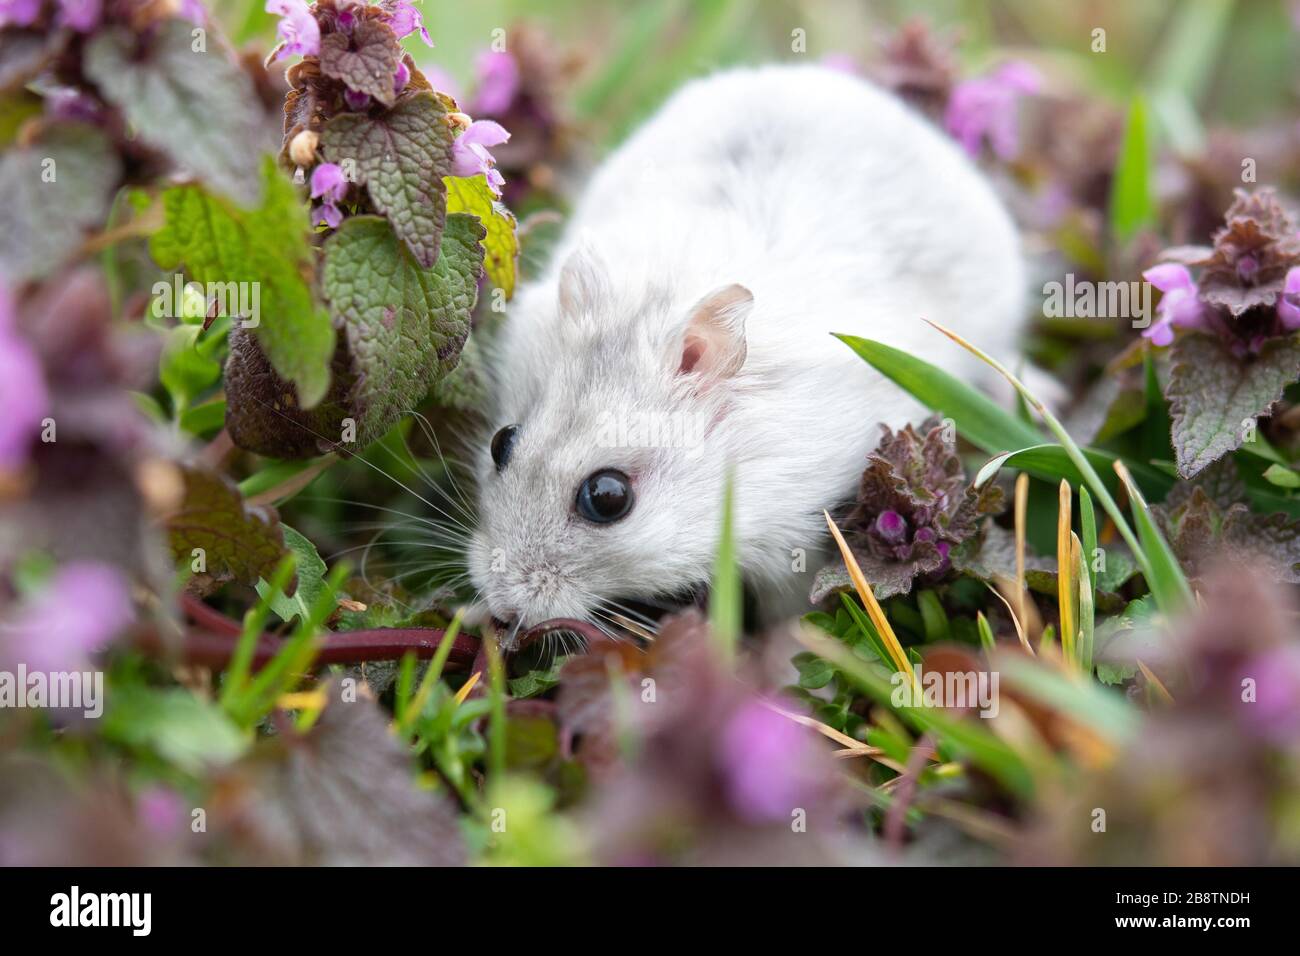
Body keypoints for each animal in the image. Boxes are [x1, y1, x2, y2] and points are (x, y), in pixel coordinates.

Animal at [467, 64, 1026, 636]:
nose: (502, 607)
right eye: (501, 443)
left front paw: (787, 647)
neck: (733, 459)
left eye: (607, 497)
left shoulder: (792, 533)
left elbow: (791, 600)